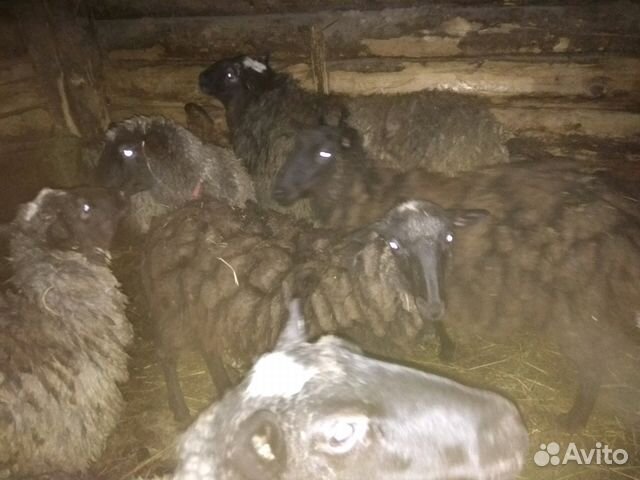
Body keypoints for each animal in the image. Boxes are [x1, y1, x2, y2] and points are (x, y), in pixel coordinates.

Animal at [142, 195, 481, 422]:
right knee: (166, 356)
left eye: (449, 237)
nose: (434, 306)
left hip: (209, 310)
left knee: (209, 348)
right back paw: (181, 411)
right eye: (395, 245)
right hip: (172, 310)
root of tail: (172, 215)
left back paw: (225, 389)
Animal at [273, 123, 640, 431]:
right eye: (292, 148)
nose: (280, 192)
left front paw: (445, 347)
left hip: (581, 302)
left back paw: (573, 420)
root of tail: (617, 209)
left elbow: (435, 317)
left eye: (325, 153)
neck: (368, 195)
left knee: (594, 362)